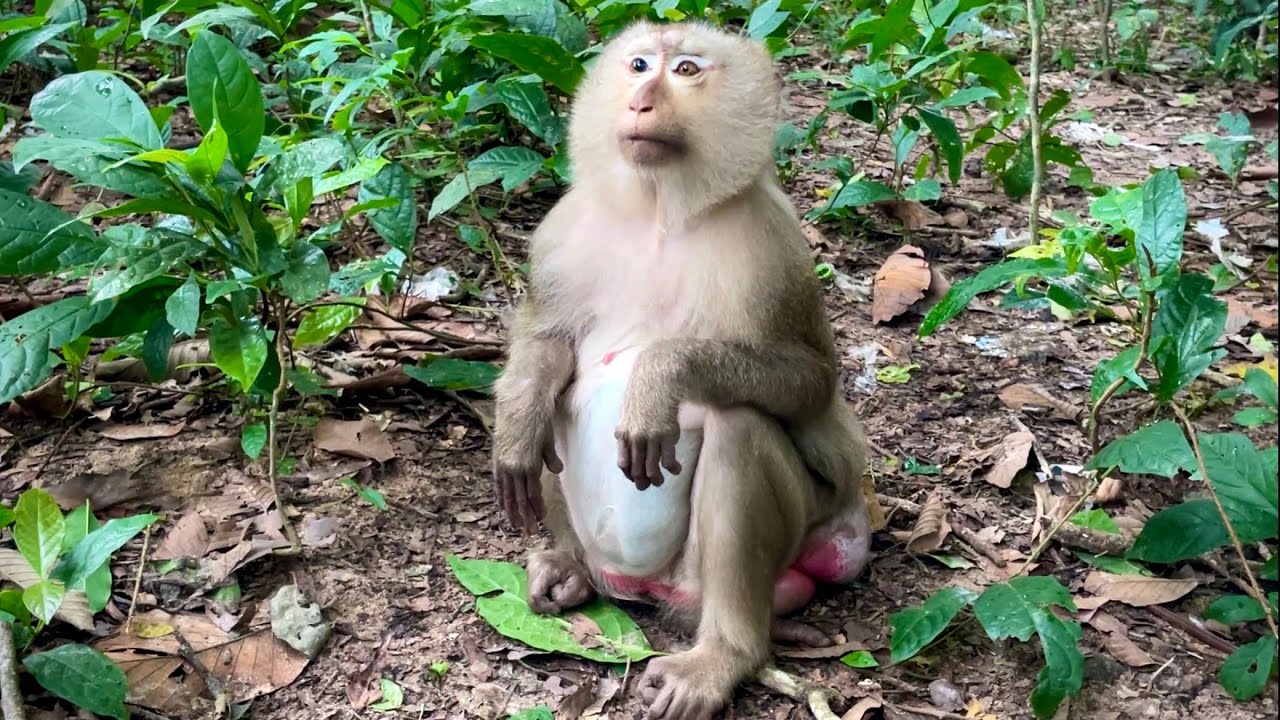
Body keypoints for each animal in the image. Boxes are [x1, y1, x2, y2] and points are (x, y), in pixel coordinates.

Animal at [491, 20, 873, 720]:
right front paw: (518, 421)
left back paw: (723, 654)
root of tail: (647, 590)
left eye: (687, 70)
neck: (659, 212)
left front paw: (660, 377)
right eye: (640, 64)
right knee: (559, 413)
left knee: (739, 425)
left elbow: (811, 382)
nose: (641, 100)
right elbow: (548, 341)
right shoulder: (558, 232)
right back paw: (569, 567)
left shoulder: (770, 247)